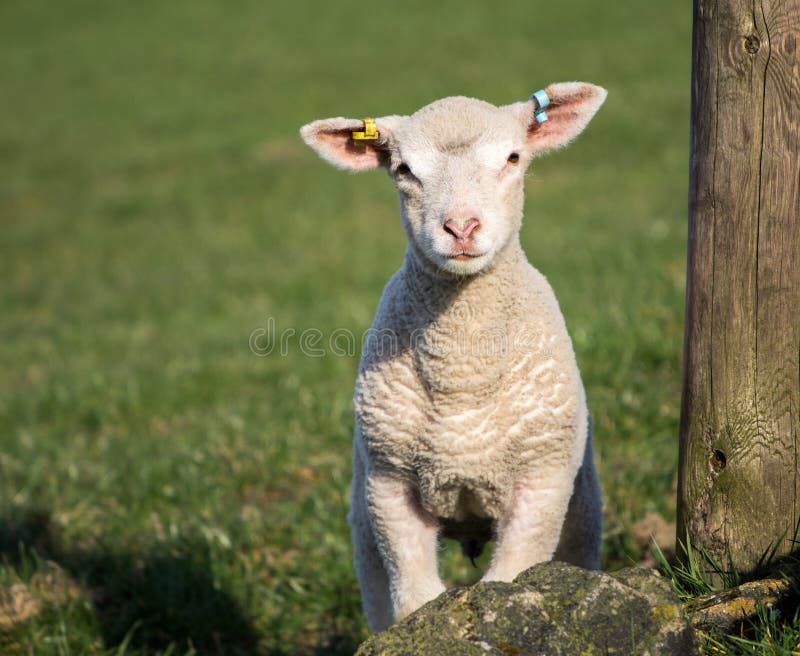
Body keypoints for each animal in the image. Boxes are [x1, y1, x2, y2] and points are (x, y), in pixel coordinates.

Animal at [300, 82, 607, 632]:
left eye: (513, 157)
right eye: (403, 170)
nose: (461, 227)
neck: (462, 377)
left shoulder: (542, 482)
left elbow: (507, 582)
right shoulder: (389, 486)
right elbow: (415, 598)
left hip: (582, 511)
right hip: (362, 527)